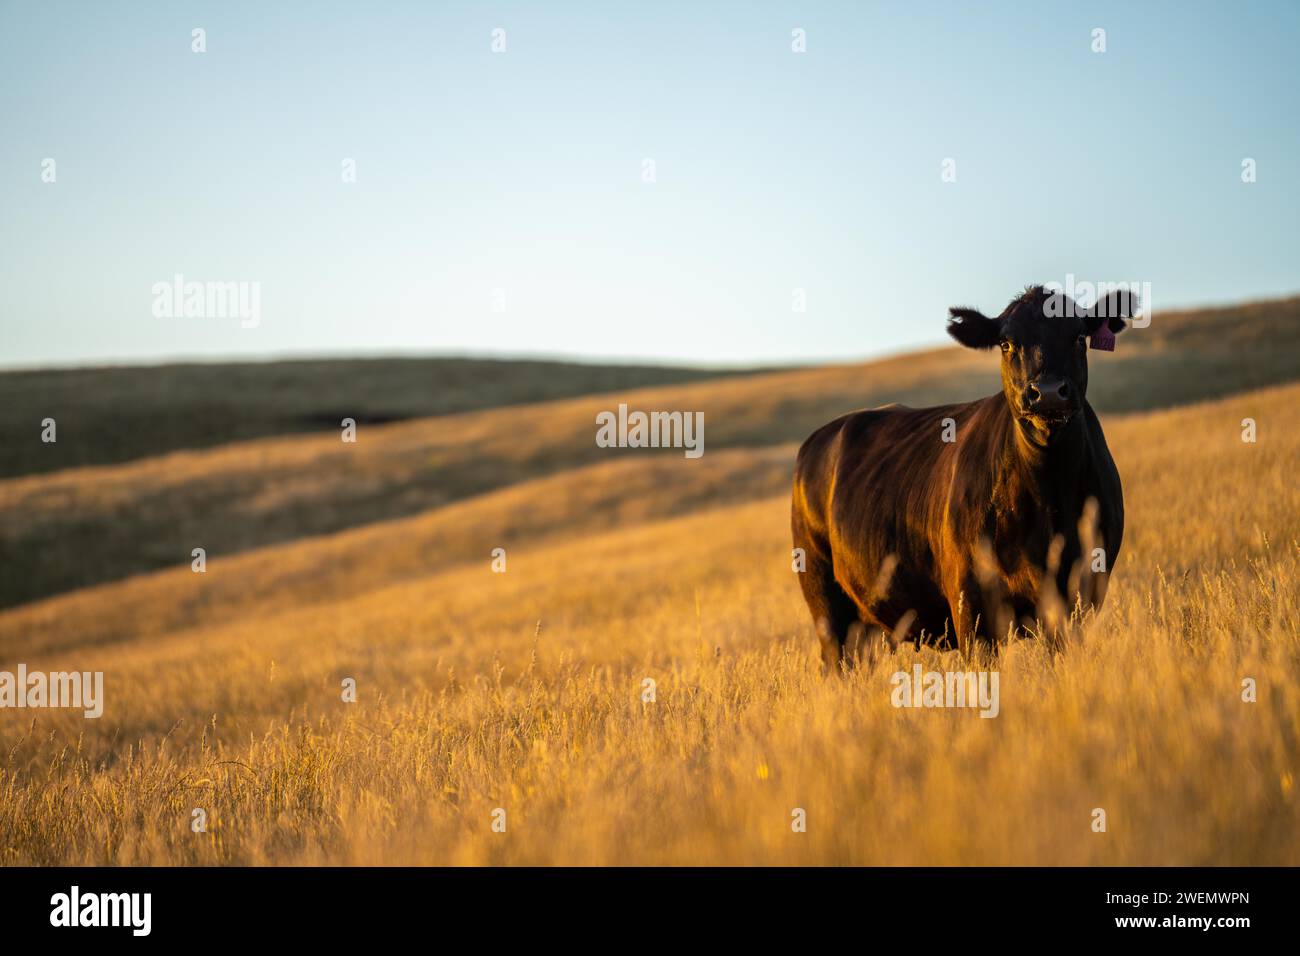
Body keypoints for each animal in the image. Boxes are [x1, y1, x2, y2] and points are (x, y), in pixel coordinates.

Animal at [791, 285, 1135, 668]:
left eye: (1078, 336)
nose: (1046, 392)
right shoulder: (971, 604)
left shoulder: (1081, 596)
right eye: (1006, 343)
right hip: (823, 596)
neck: (1050, 496)